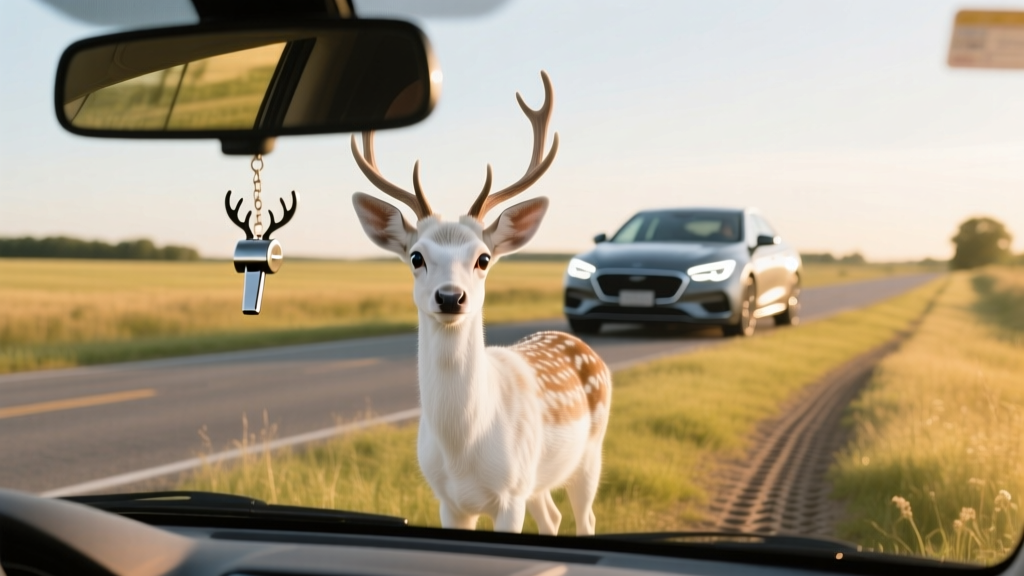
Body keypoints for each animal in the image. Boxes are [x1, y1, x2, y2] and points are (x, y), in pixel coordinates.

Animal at [349, 71, 611, 535]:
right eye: (416, 256)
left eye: (483, 258)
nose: (451, 297)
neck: (463, 448)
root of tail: (580, 344)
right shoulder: (449, 501)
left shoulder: (511, 495)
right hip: (538, 479)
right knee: (553, 515)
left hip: (588, 453)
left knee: (586, 515)